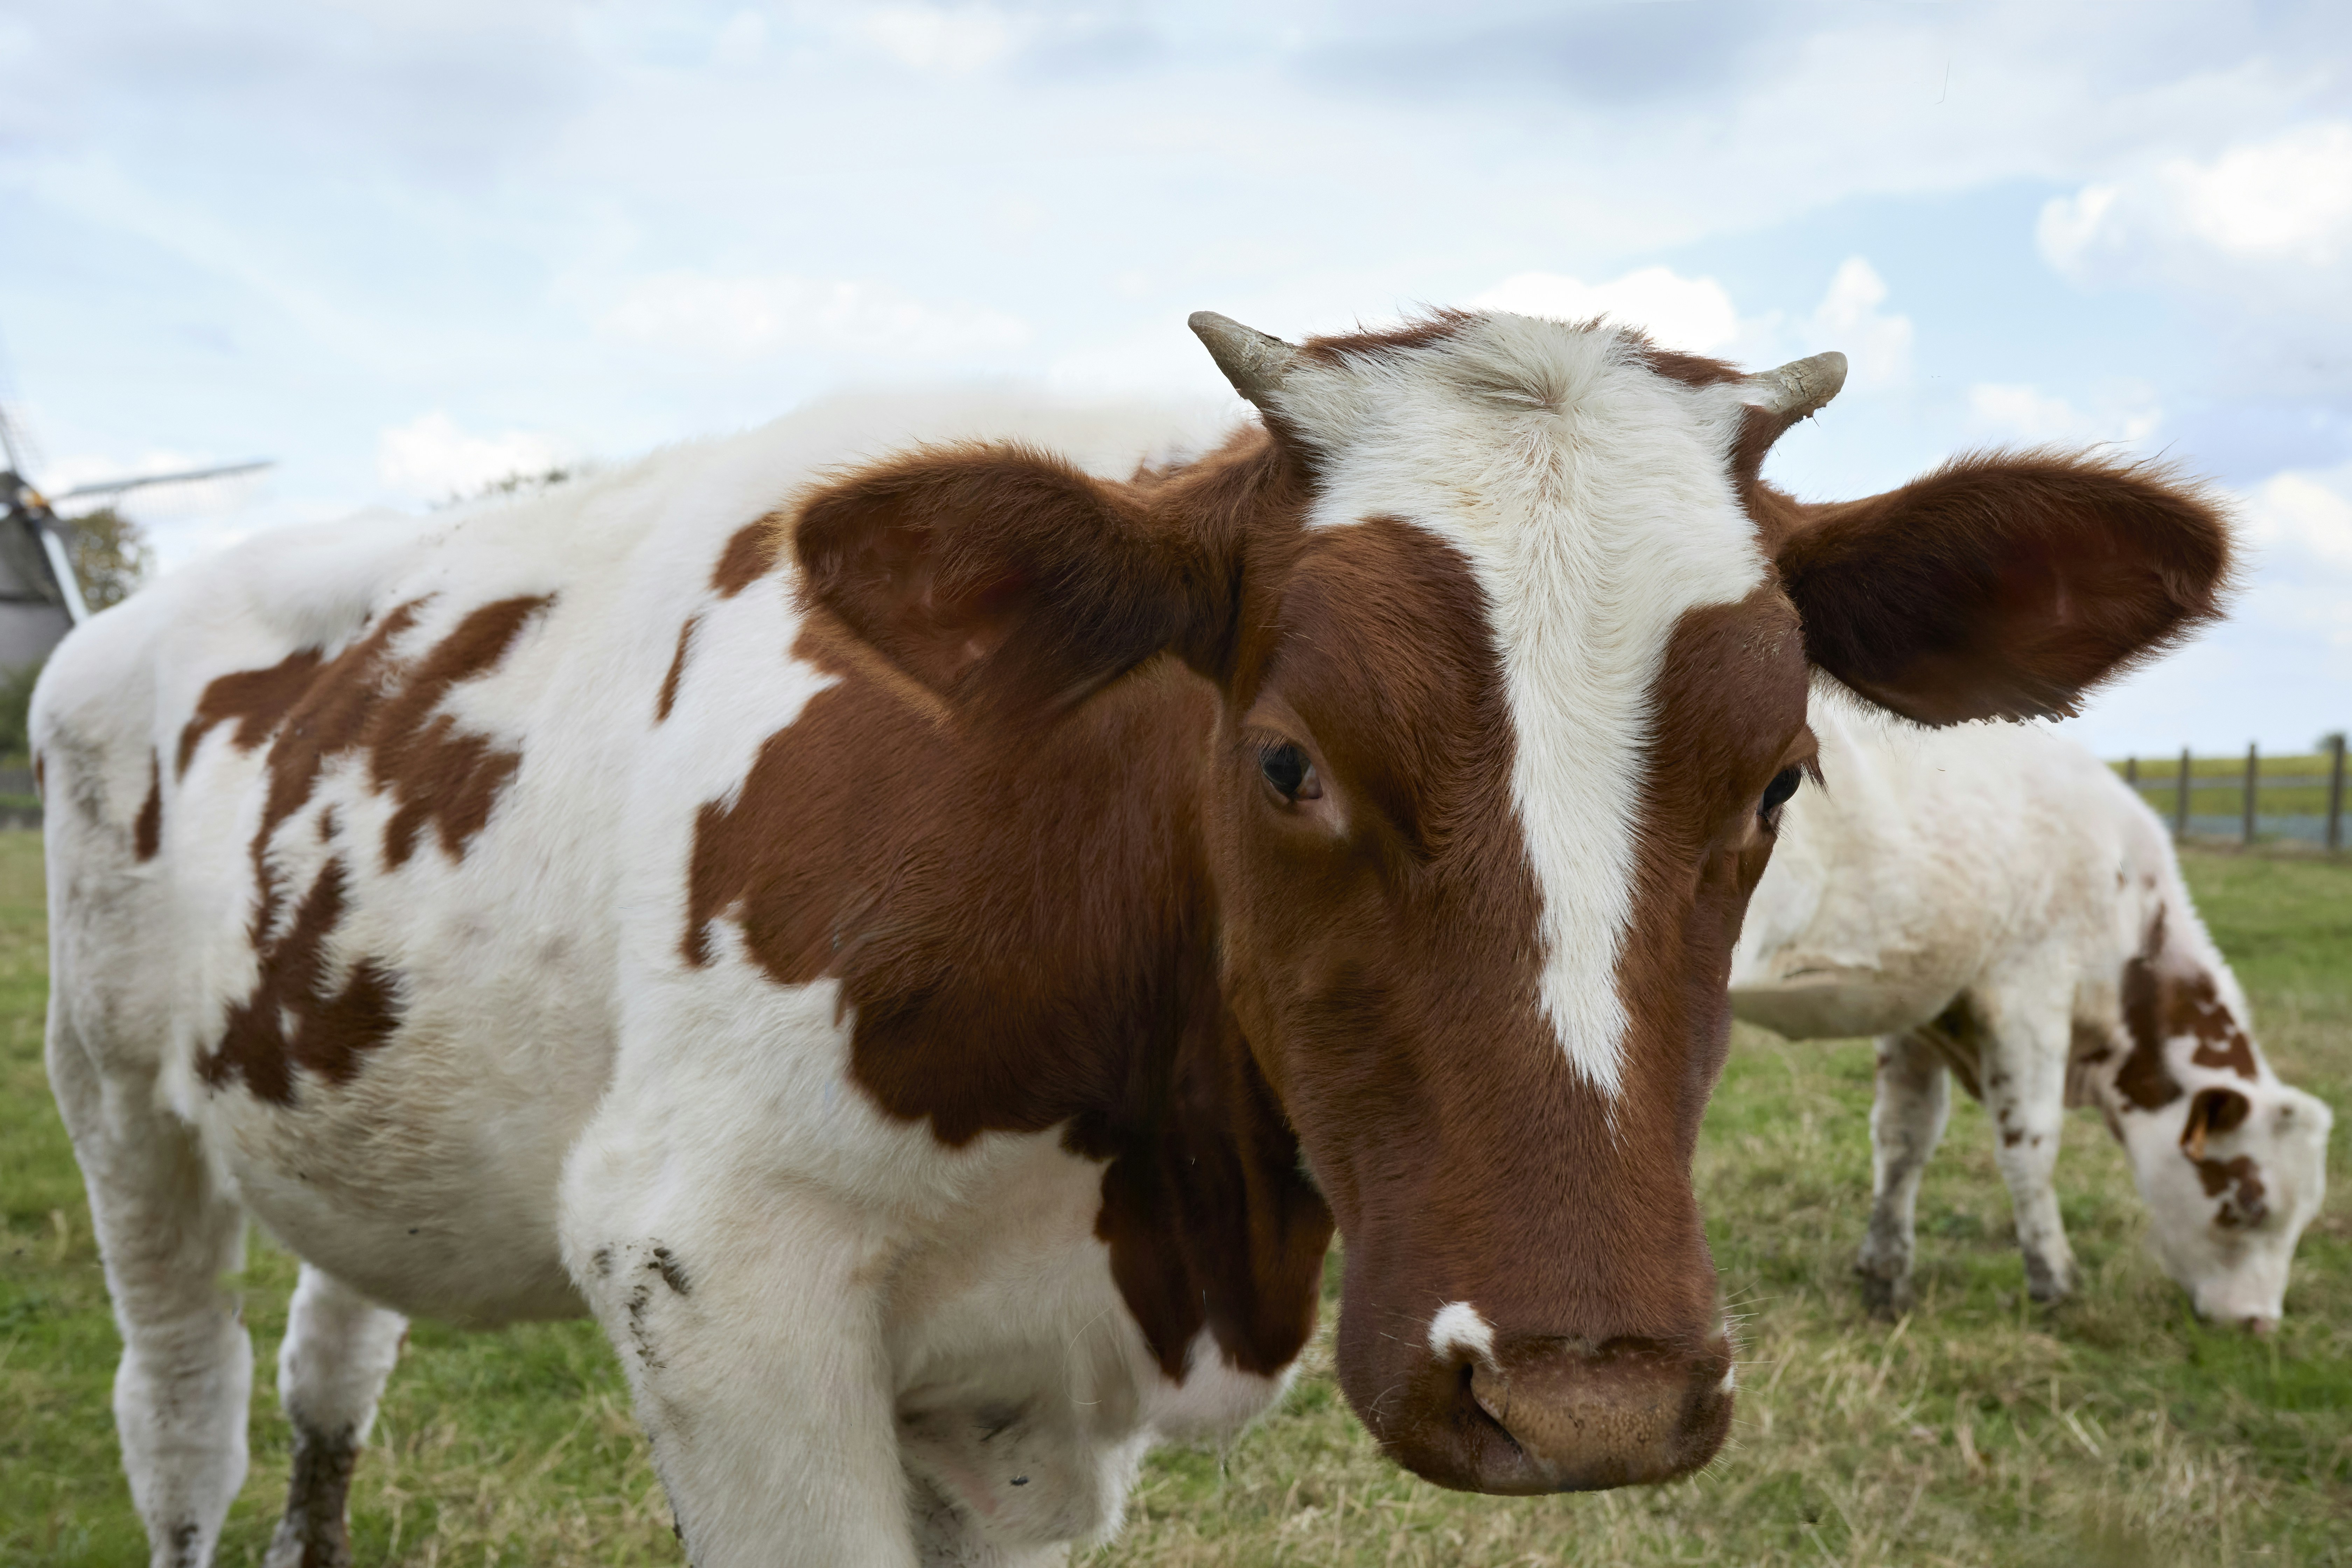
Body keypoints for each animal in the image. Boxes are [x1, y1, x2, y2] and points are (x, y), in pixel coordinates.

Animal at [36, 309, 2232, 1568]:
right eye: (1285, 756)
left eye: (1782, 771)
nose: (1583, 1395)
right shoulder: (711, 1274)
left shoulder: (1017, 1399)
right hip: (116, 1103)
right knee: (184, 1409)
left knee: (334, 1362)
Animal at [1730, 706, 2333, 1329]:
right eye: (2249, 1203)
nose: (2258, 1323)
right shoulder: (2030, 992)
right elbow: (2031, 1146)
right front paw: (2055, 1280)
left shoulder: (1919, 1003)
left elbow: (1903, 1136)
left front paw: (1886, 1277)